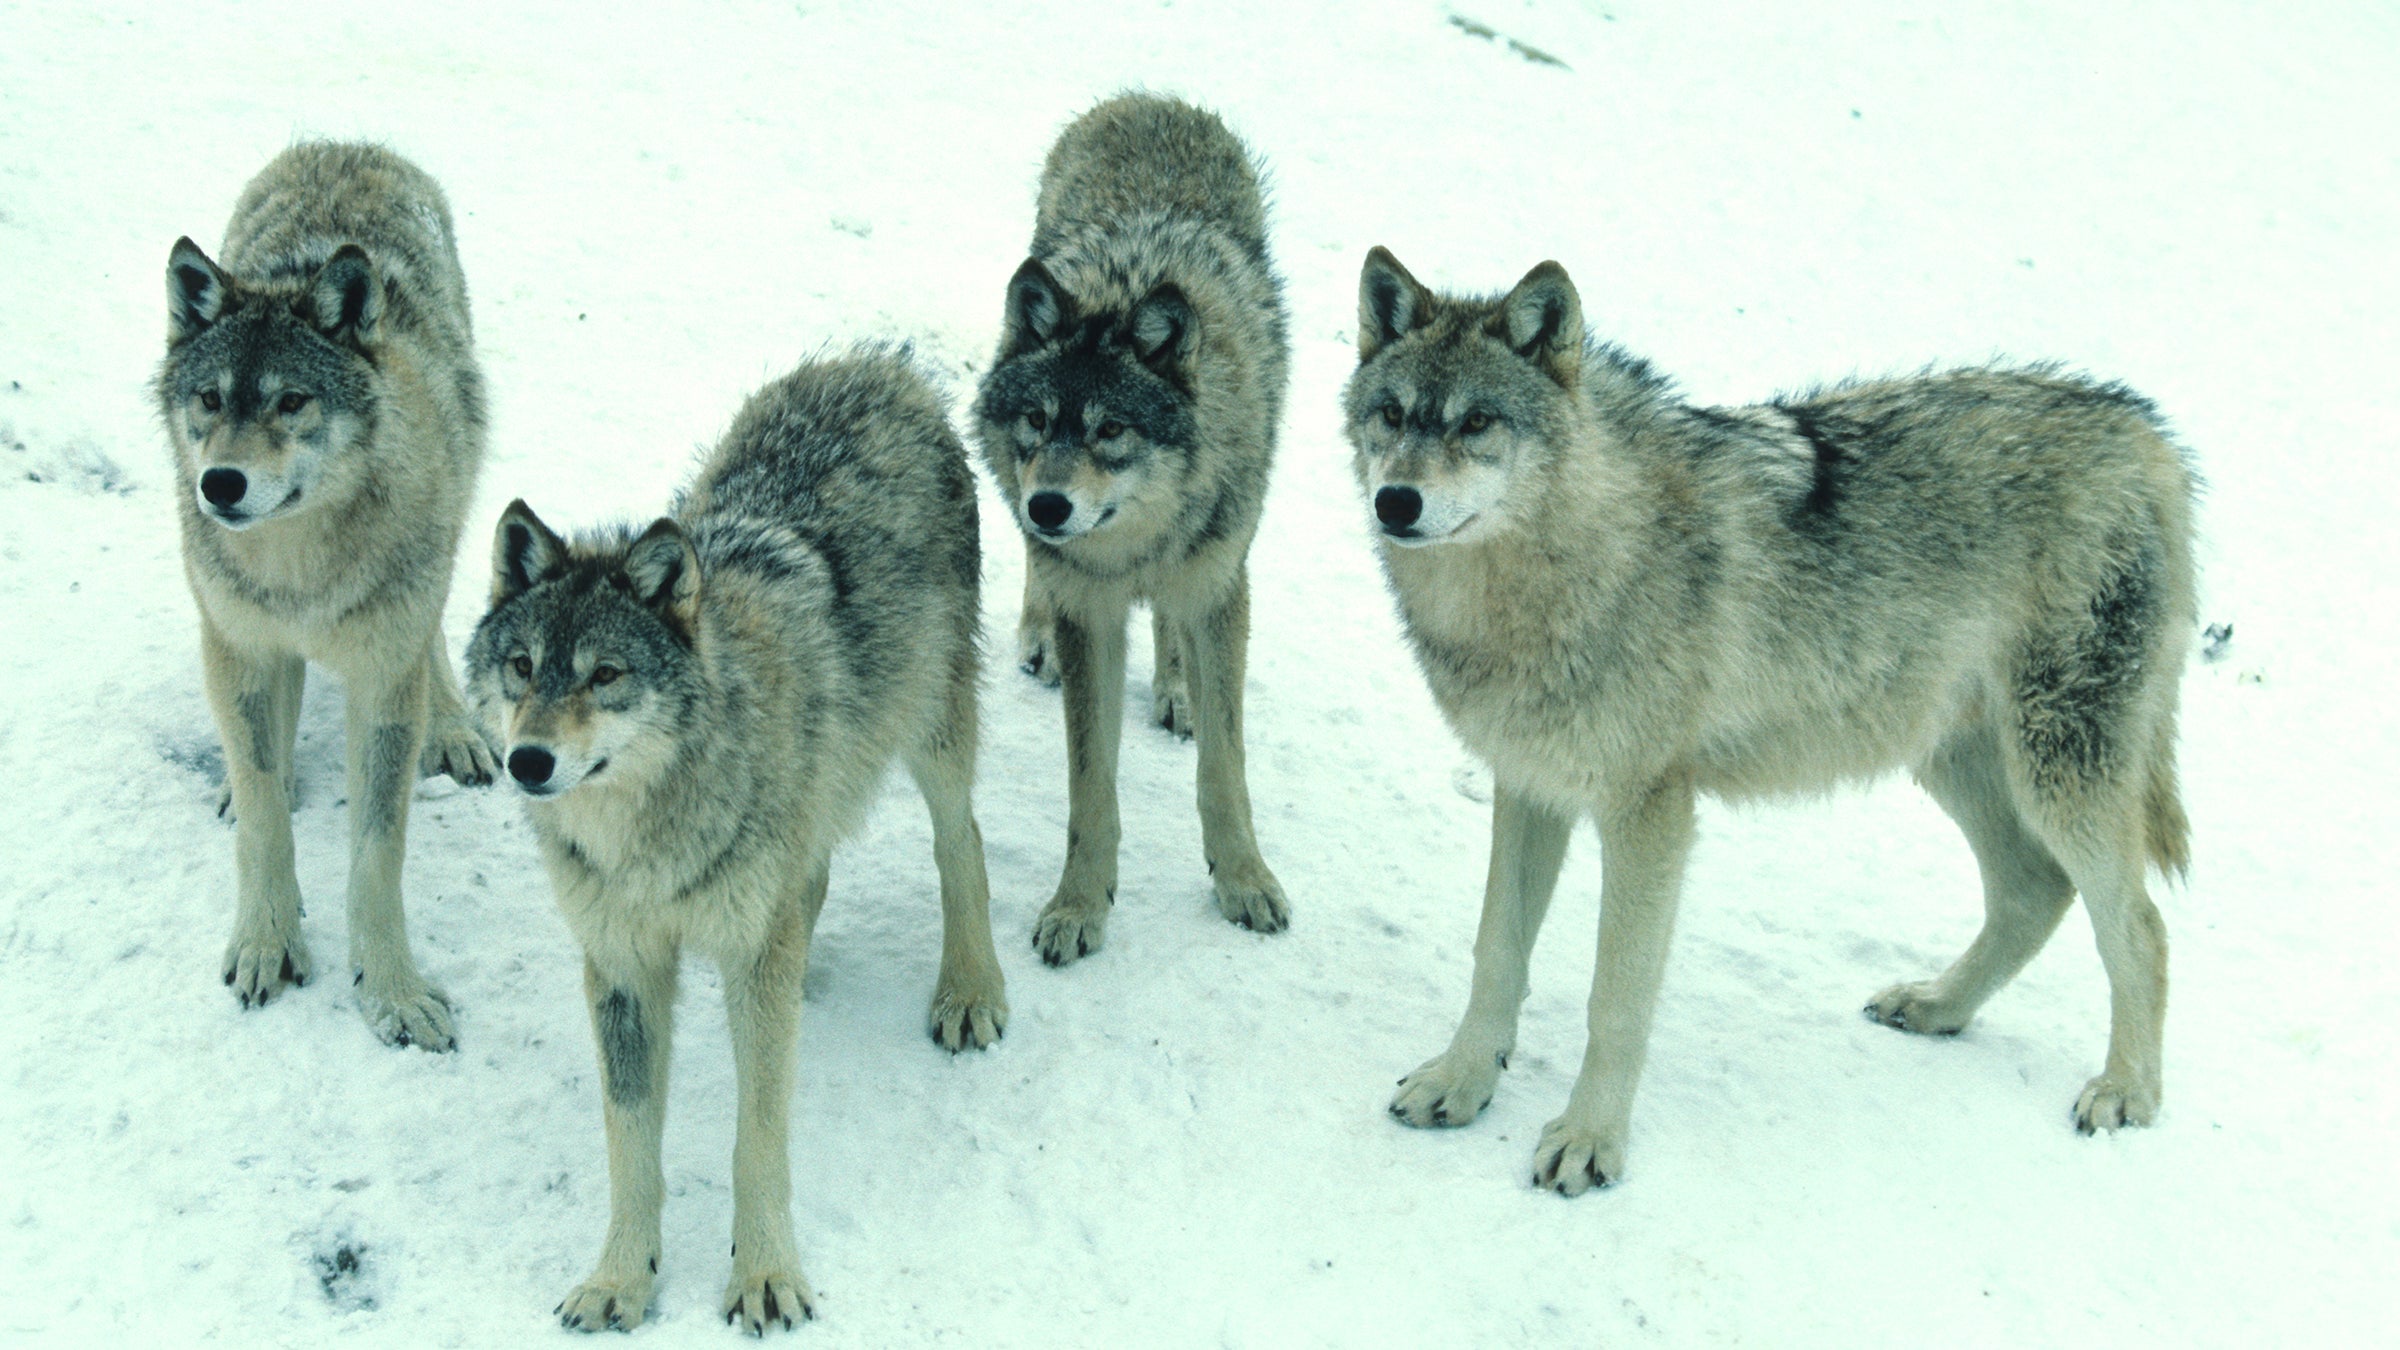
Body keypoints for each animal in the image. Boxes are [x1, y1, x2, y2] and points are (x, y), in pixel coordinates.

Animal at [157, 142, 498, 1050]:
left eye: (291, 401)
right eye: (211, 399)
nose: (220, 484)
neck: (298, 574)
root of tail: (343, 144)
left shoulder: (382, 677)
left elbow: (377, 855)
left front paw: (392, 994)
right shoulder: (239, 645)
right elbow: (266, 818)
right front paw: (266, 943)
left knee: (434, 636)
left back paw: (454, 731)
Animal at [464, 347, 1009, 1332]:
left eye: (605, 676)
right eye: (522, 667)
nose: (526, 761)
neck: (651, 841)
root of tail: (881, 364)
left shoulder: (749, 953)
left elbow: (757, 1135)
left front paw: (764, 1277)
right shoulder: (623, 964)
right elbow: (629, 1141)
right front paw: (621, 1280)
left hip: (932, 731)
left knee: (964, 843)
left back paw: (969, 991)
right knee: (816, 878)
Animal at [973, 93, 1293, 964]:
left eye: (1110, 429)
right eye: (1037, 421)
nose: (1050, 507)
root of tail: (1147, 99)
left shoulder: (1217, 587)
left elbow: (1226, 768)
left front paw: (1243, 881)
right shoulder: (1089, 605)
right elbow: (1091, 786)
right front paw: (1079, 905)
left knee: (1174, 630)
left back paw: (1176, 689)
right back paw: (1040, 638)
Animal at [1345, 248, 2197, 1195]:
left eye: (1478, 422)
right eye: (1393, 413)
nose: (1396, 502)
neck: (1564, 566)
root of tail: (2146, 434)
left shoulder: (1649, 812)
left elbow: (1615, 999)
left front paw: (1590, 1140)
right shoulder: (1529, 787)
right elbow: (1495, 954)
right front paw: (1460, 1082)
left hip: (2059, 772)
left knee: (2141, 928)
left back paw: (2126, 1093)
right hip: (1950, 756)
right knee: (2032, 891)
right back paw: (1938, 1007)